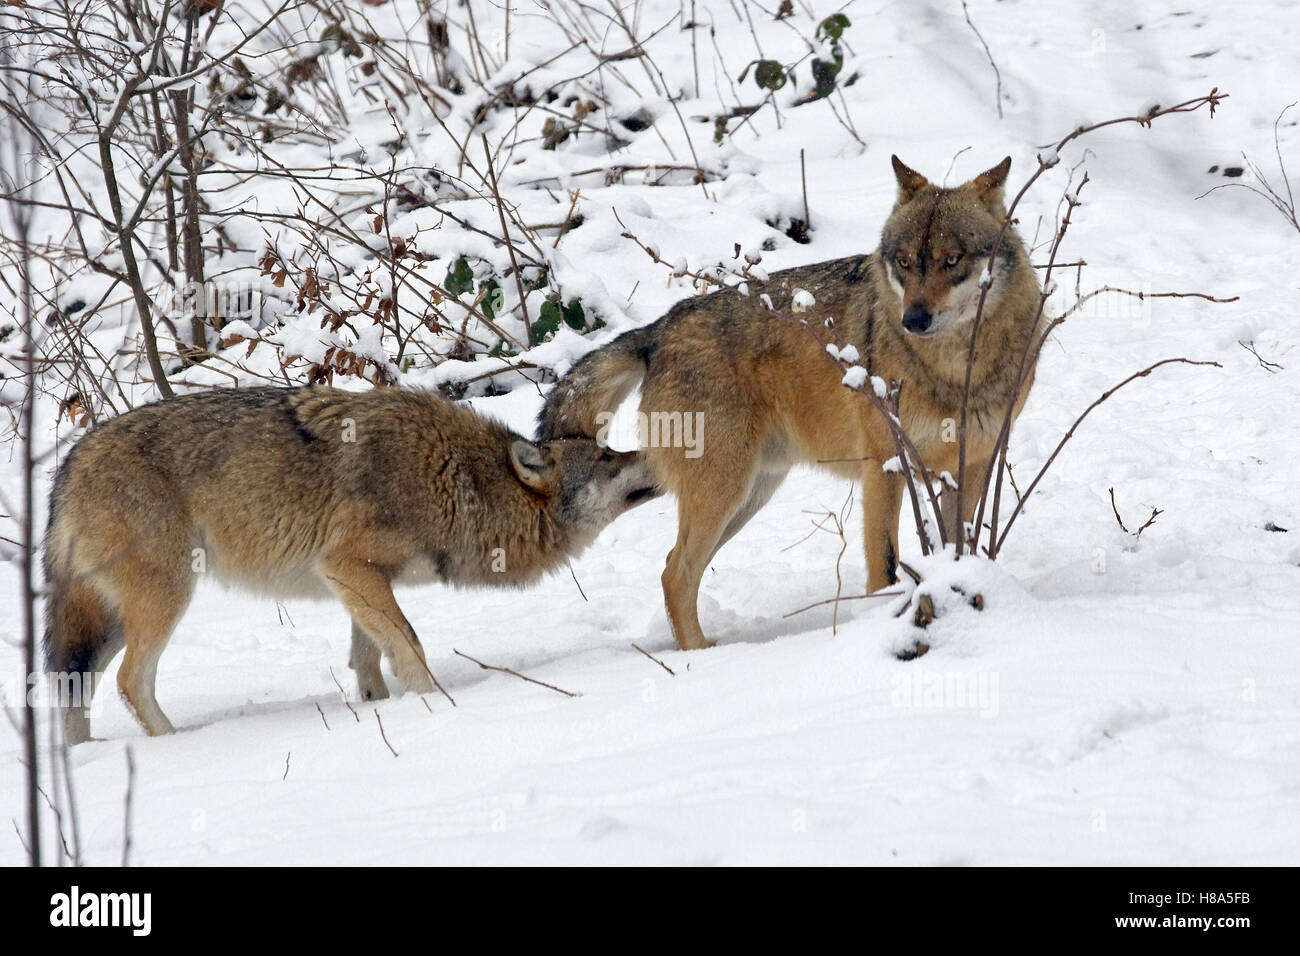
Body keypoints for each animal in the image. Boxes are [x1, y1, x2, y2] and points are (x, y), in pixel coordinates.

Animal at [44, 385, 658, 742]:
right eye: (608, 457)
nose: (654, 450)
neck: (460, 480)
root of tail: (69, 462)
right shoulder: (348, 566)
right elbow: (408, 644)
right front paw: (437, 706)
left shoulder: (361, 580)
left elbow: (370, 657)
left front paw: (382, 709)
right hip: (166, 595)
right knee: (129, 681)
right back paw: (173, 745)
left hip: (110, 620)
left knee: (75, 686)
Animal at [539, 156, 1045, 651]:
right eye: (904, 262)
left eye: (951, 260)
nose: (913, 320)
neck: (953, 370)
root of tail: (657, 329)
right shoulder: (885, 467)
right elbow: (884, 565)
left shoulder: (972, 466)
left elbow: (959, 548)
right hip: (726, 490)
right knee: (674, 572)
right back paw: (700, 657)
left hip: (751, 494)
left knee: (674, 569)